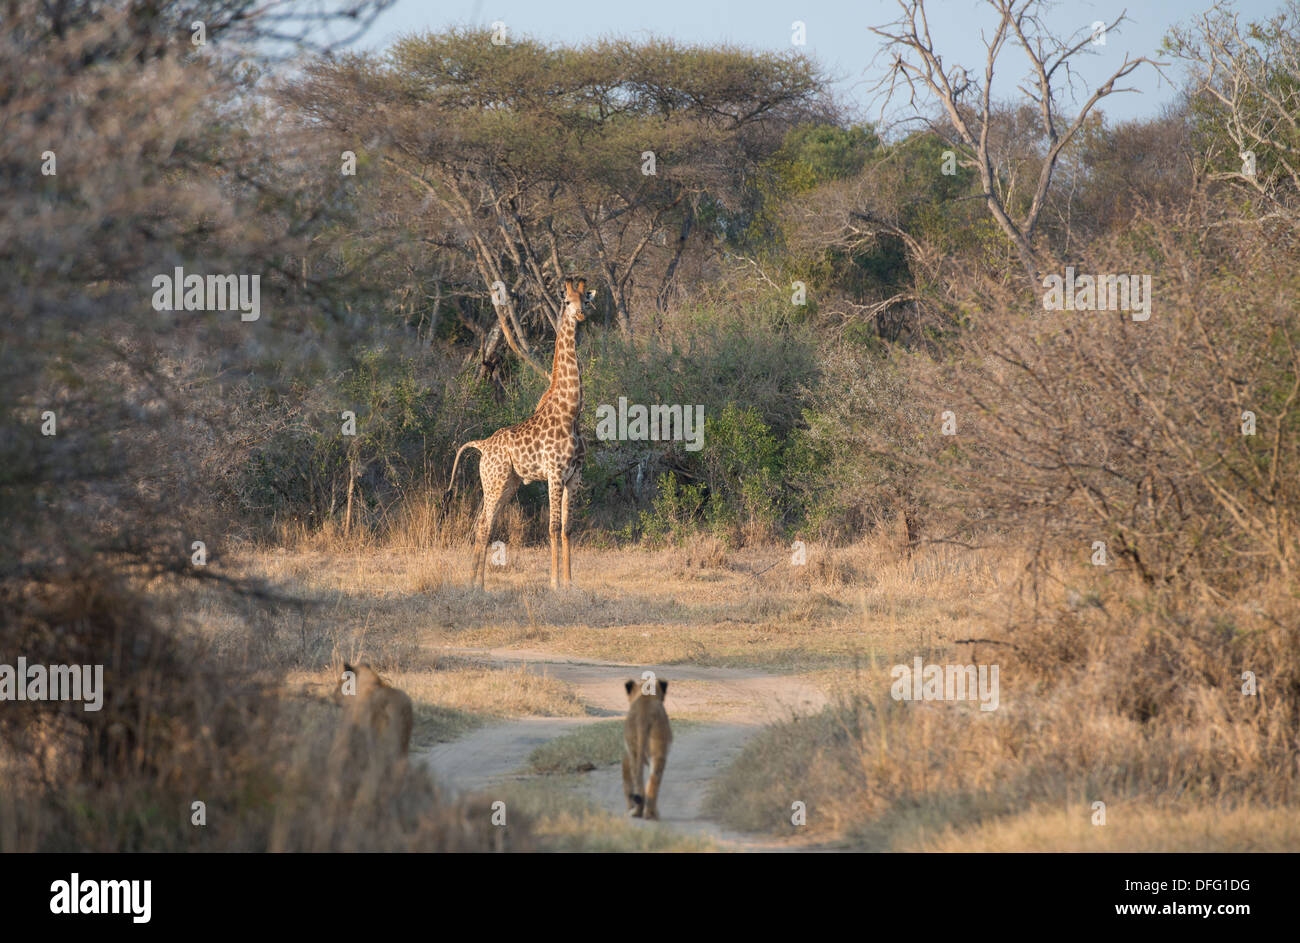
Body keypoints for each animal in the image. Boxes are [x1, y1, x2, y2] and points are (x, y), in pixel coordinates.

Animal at [446, 277, 593, 590]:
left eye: (586, 300)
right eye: (567, 301)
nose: (580, 315)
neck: (571, 412)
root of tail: (482, 445)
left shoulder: (575, 475)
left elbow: (567, 528)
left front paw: (569, 582)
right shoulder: (554, 472)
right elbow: (552, 527)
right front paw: (554, 582)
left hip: (508, 484)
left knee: (483, 524)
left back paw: (476, 582)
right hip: (495, 481)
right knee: (484, 524)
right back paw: (476, 583)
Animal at [623, 676, 672, 820]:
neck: (646, 696)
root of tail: (643, 715)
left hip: (634, 749)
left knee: (638, 780)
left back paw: (639, 812)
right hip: (658, 749)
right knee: (653, 780)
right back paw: (649, 813)